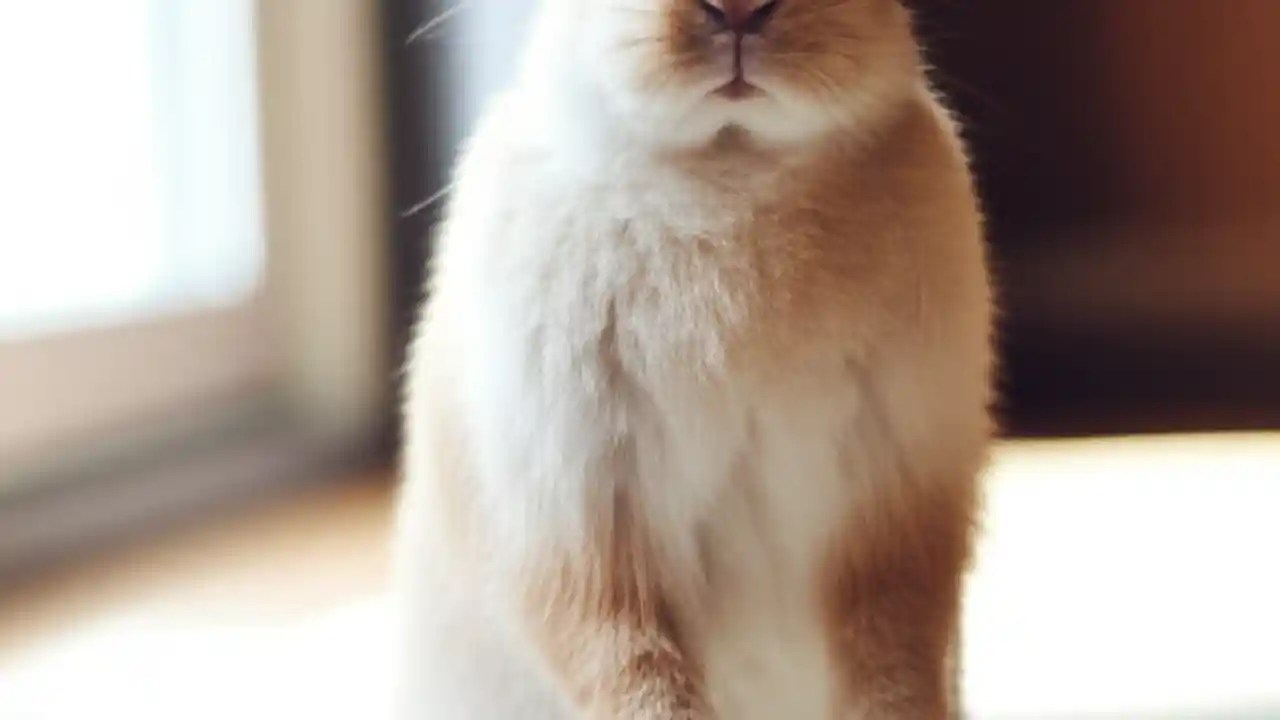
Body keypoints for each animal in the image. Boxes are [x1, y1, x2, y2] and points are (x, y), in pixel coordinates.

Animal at [396, 0, 993, 718]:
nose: (738, 12)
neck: (730, 170)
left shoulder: (896, 523)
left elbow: (890, 668)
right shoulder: (589, 535)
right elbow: (637, 675)